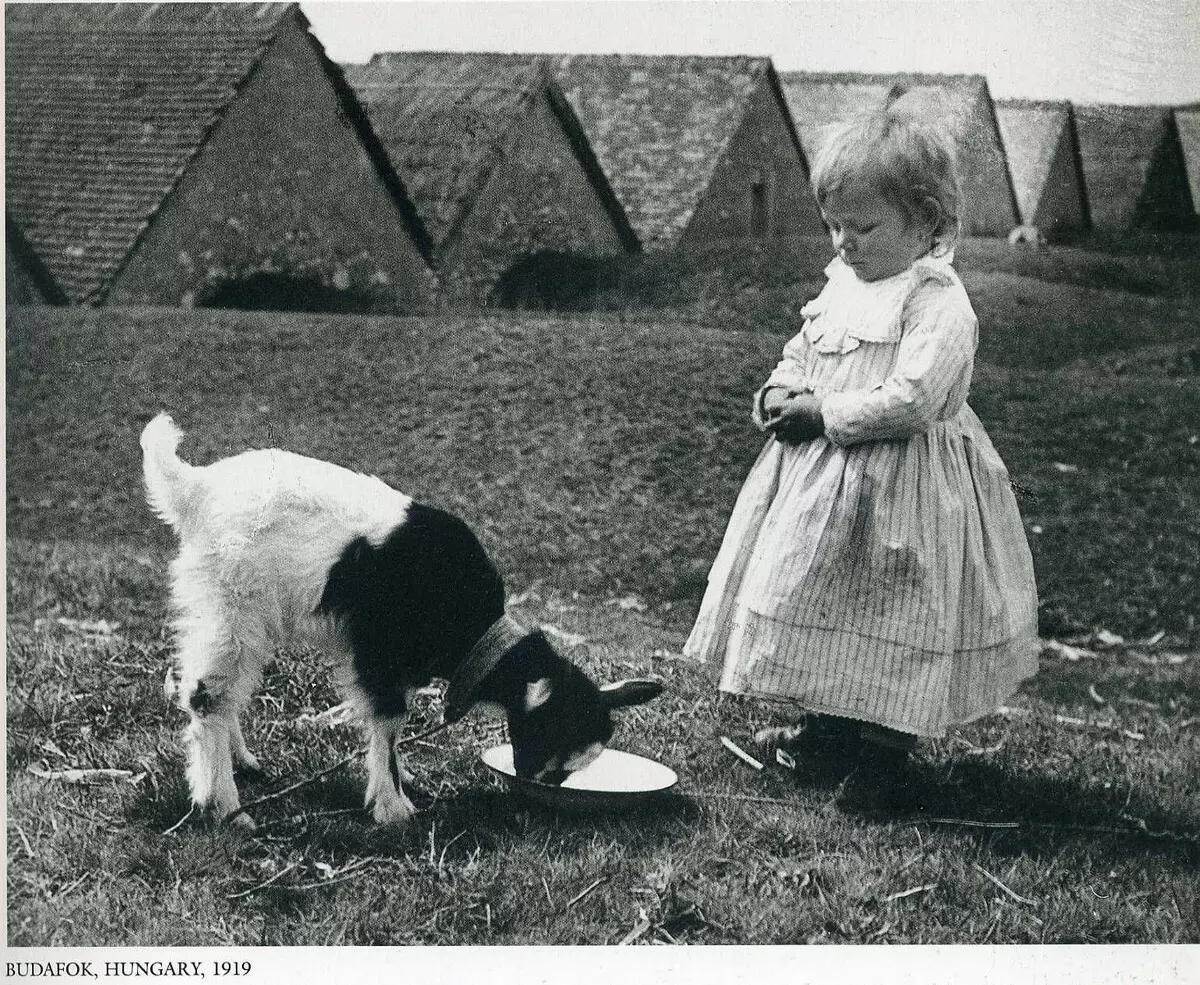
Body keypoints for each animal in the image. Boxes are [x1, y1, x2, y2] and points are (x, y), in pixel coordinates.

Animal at [144, 410, 662, 825]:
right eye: (552, 738)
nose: (534, 789)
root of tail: (197, 488)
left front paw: (402, 779)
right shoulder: (379, 654)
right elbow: (389, 719)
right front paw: (393, 808)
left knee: (227, 691)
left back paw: (241, 763)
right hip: (228, 602)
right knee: (207, 695)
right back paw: (223, 805)